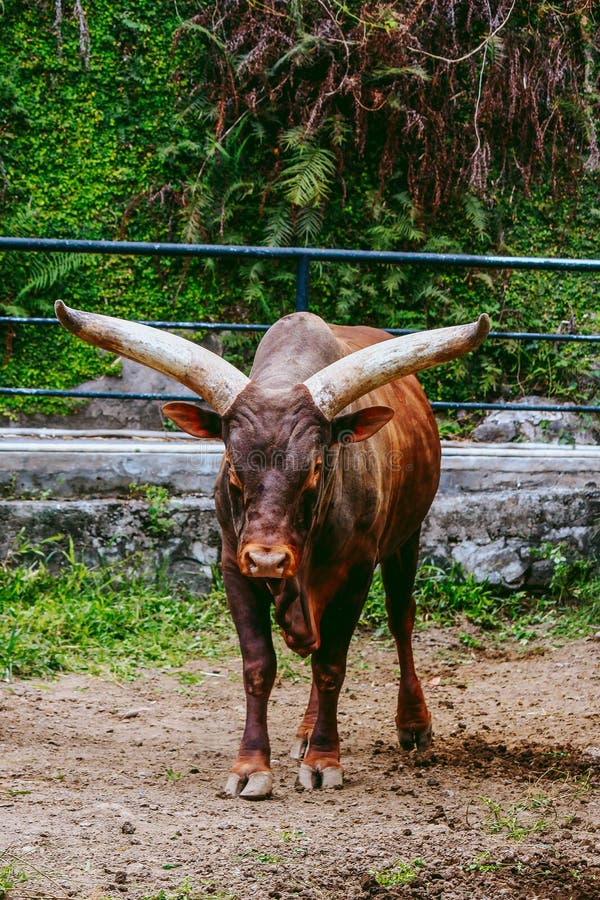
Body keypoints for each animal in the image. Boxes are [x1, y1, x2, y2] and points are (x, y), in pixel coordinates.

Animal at [55, 300, 489, 800]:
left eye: (316, 467)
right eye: (232, 467)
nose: (268, 560)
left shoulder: (357, 571)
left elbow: (331, 666)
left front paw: (324, 760)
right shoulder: (233, 565)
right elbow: (259, 666)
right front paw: (250, 767)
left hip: (408, 536)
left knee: (401, 618)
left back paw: (412, 723)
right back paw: (304, 731)